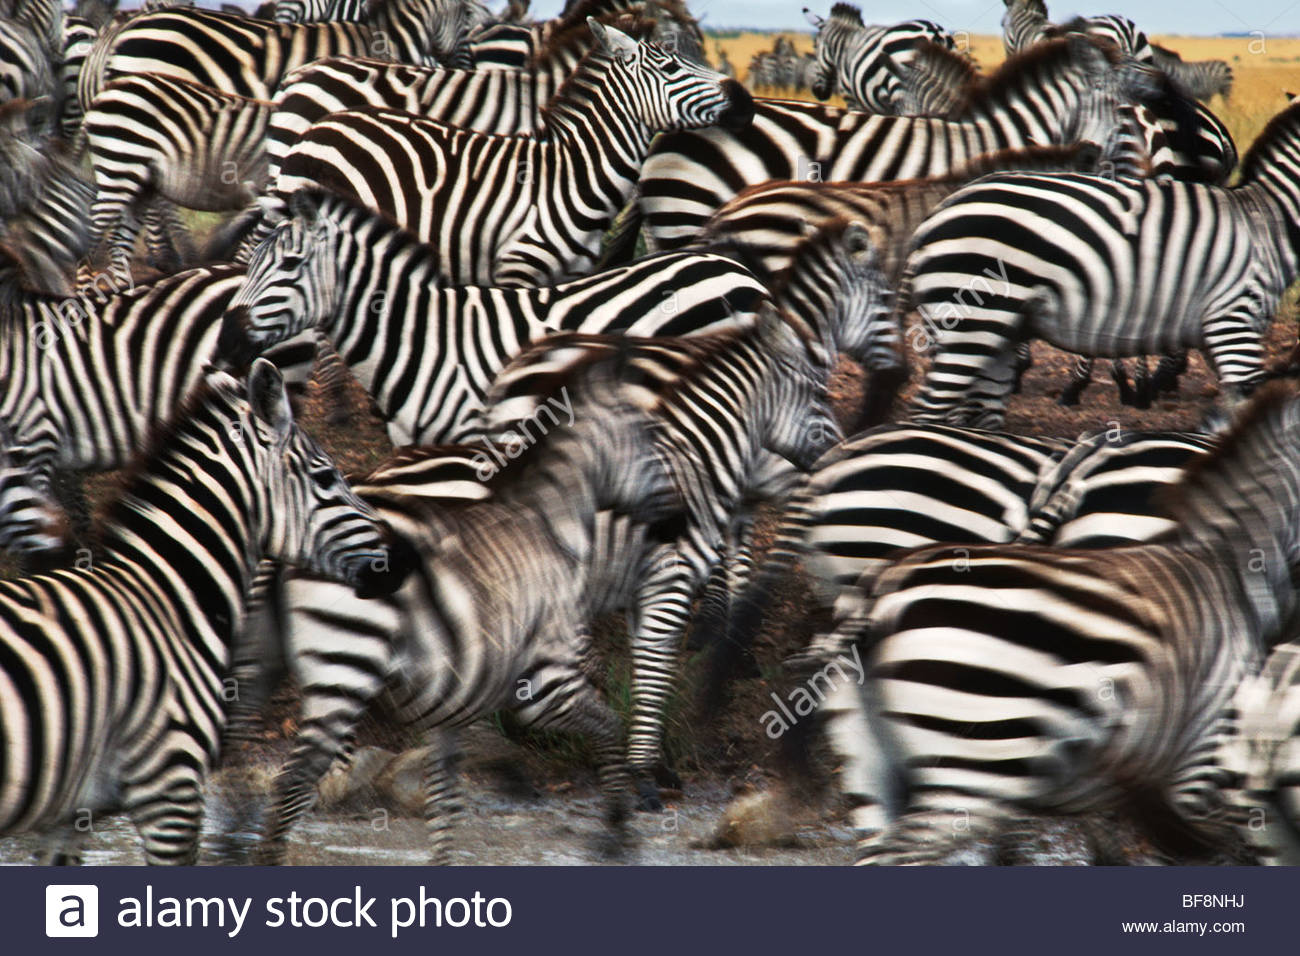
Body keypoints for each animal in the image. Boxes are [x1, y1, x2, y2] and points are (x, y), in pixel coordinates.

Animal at [256, 363, 682, 864]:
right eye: (650, 445)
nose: (678, 523)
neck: (551, 528)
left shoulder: (455, 698)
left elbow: (447, 799)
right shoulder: (540, 684)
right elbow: (605, 723)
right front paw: (618, 826)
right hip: (344, 672)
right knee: (291, 782)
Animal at [268, 20, 752, 285]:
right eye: (670, 66)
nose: (746, 100)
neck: (573, 178)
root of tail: (320, 123)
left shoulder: (570, 277)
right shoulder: (516, 270)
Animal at [903, 97, 1300, 429]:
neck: (1268, 214)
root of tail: (933, 217)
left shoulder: (1220, 329)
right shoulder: (1234, 320)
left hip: (990, 330)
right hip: (973, 321)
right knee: (932, 412)